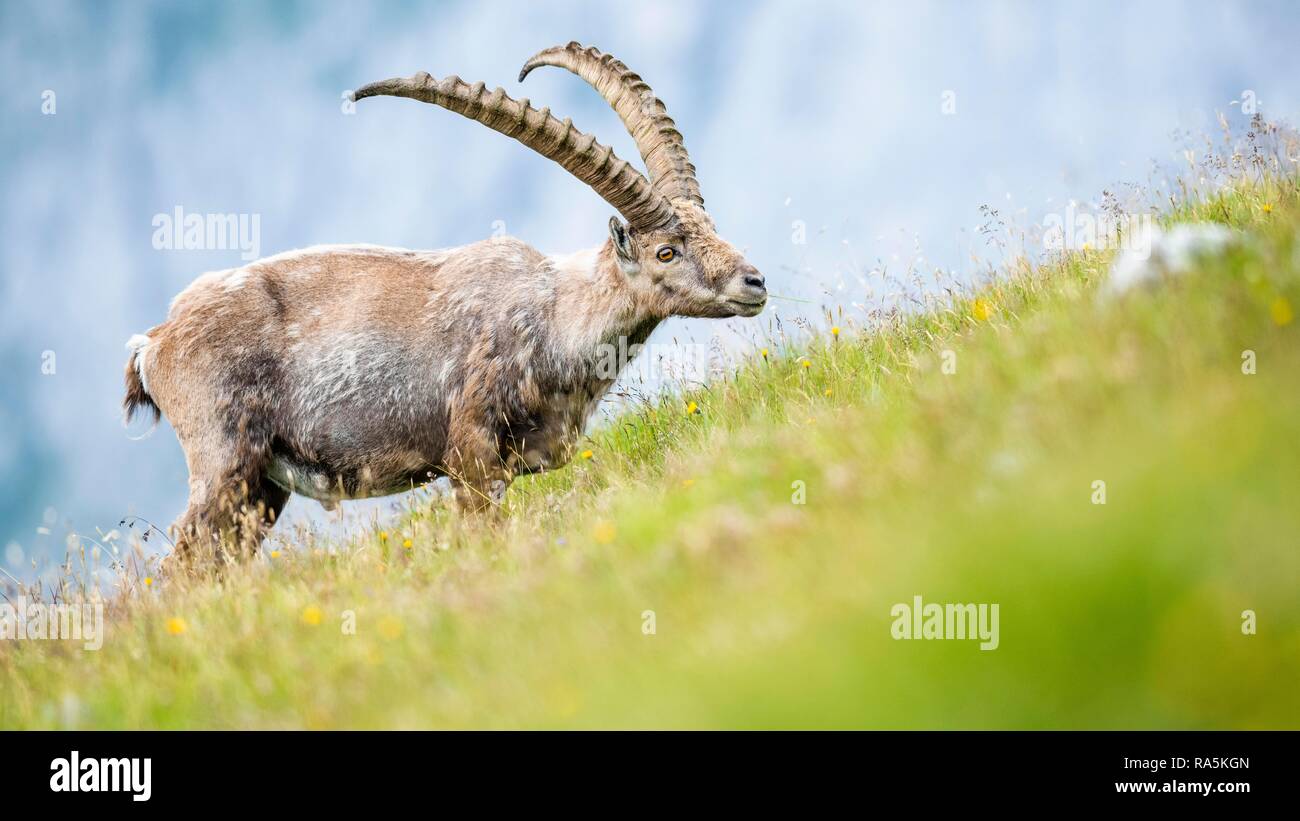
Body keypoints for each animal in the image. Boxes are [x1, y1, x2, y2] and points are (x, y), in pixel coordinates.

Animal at [124, 42, 766, 562]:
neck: (554, 318)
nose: (753, 283)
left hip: (262, 490)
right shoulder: (471, 451)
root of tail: (155, 343)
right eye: (666, 252)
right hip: (222, 461)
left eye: (710, 227)